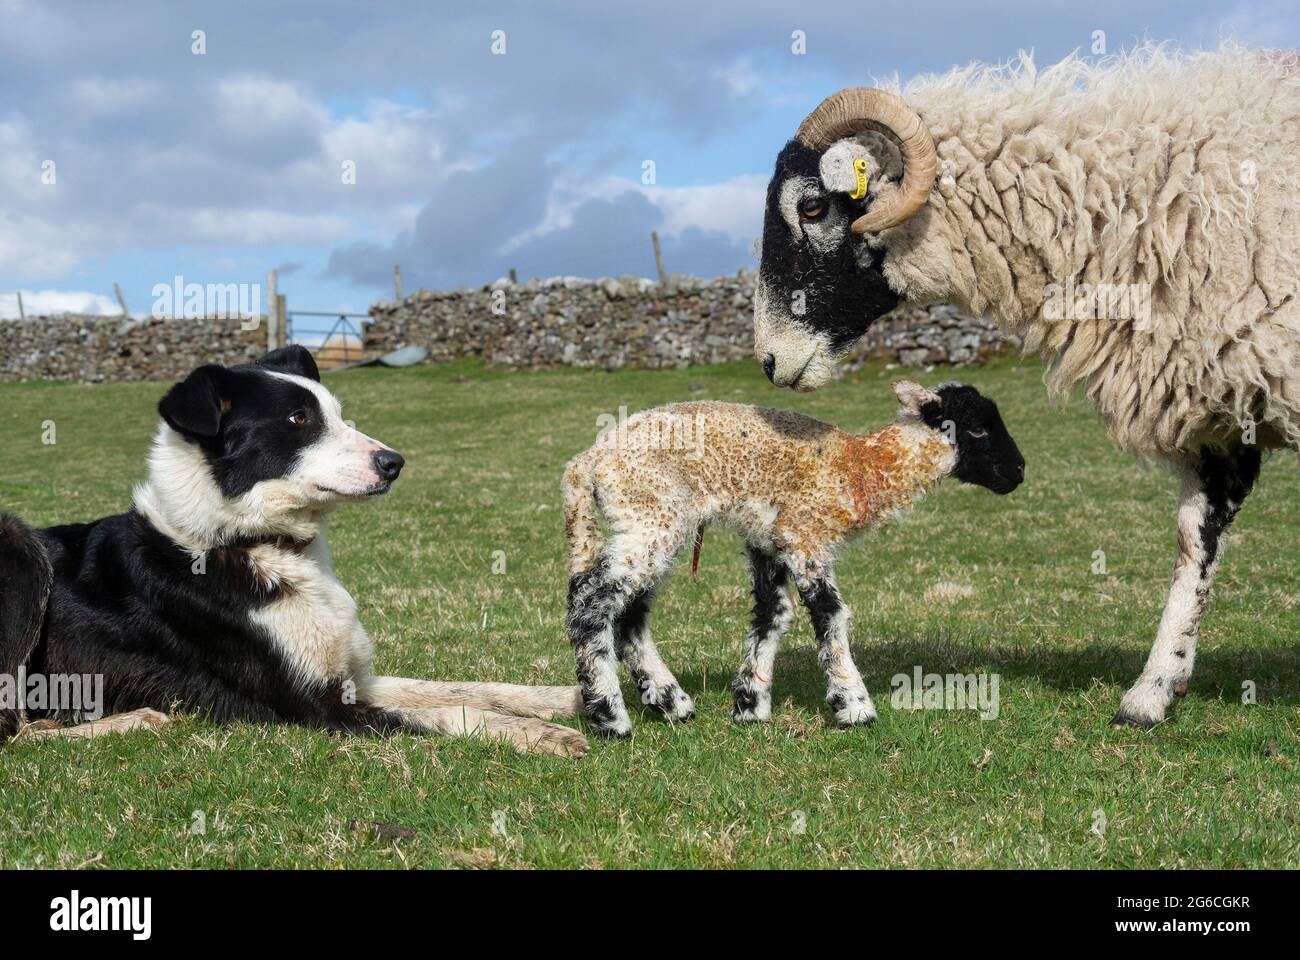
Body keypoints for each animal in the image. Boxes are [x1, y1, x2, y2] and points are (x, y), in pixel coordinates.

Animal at [562, 381, 1024, 736]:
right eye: (977, 431)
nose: (1019, 471)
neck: (862, 470)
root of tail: (586, 463)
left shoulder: (768, 540)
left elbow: (773, 614)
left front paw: (750, 705)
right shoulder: (805, 535)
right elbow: (830, 613)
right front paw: (854, 705)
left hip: (648, 526)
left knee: (628, 616)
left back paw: (671, 702)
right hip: (650, 516)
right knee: (592, 606)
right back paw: (610, 716)